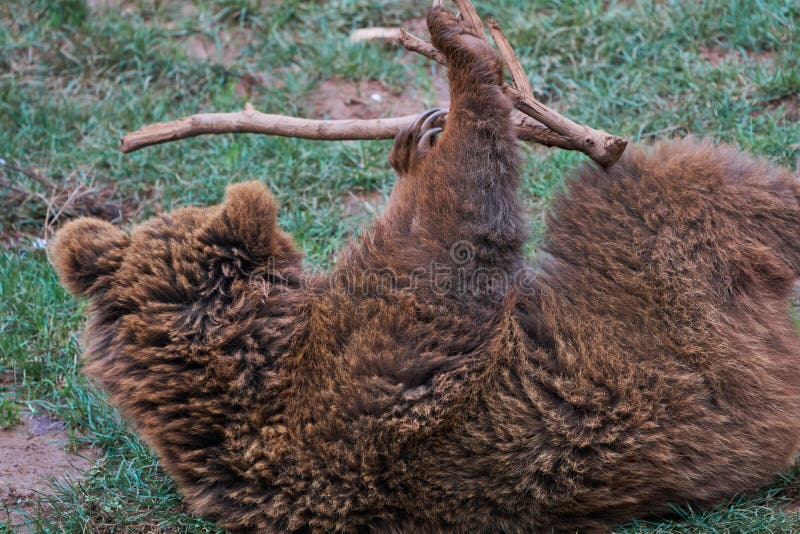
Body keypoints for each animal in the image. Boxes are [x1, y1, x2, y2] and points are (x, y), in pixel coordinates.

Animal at [51, 4, 800, 533]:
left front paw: (415, 141)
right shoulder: (384, 357)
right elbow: (462, 226)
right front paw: (461, 45)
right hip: (675, 294)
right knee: (693, 184)